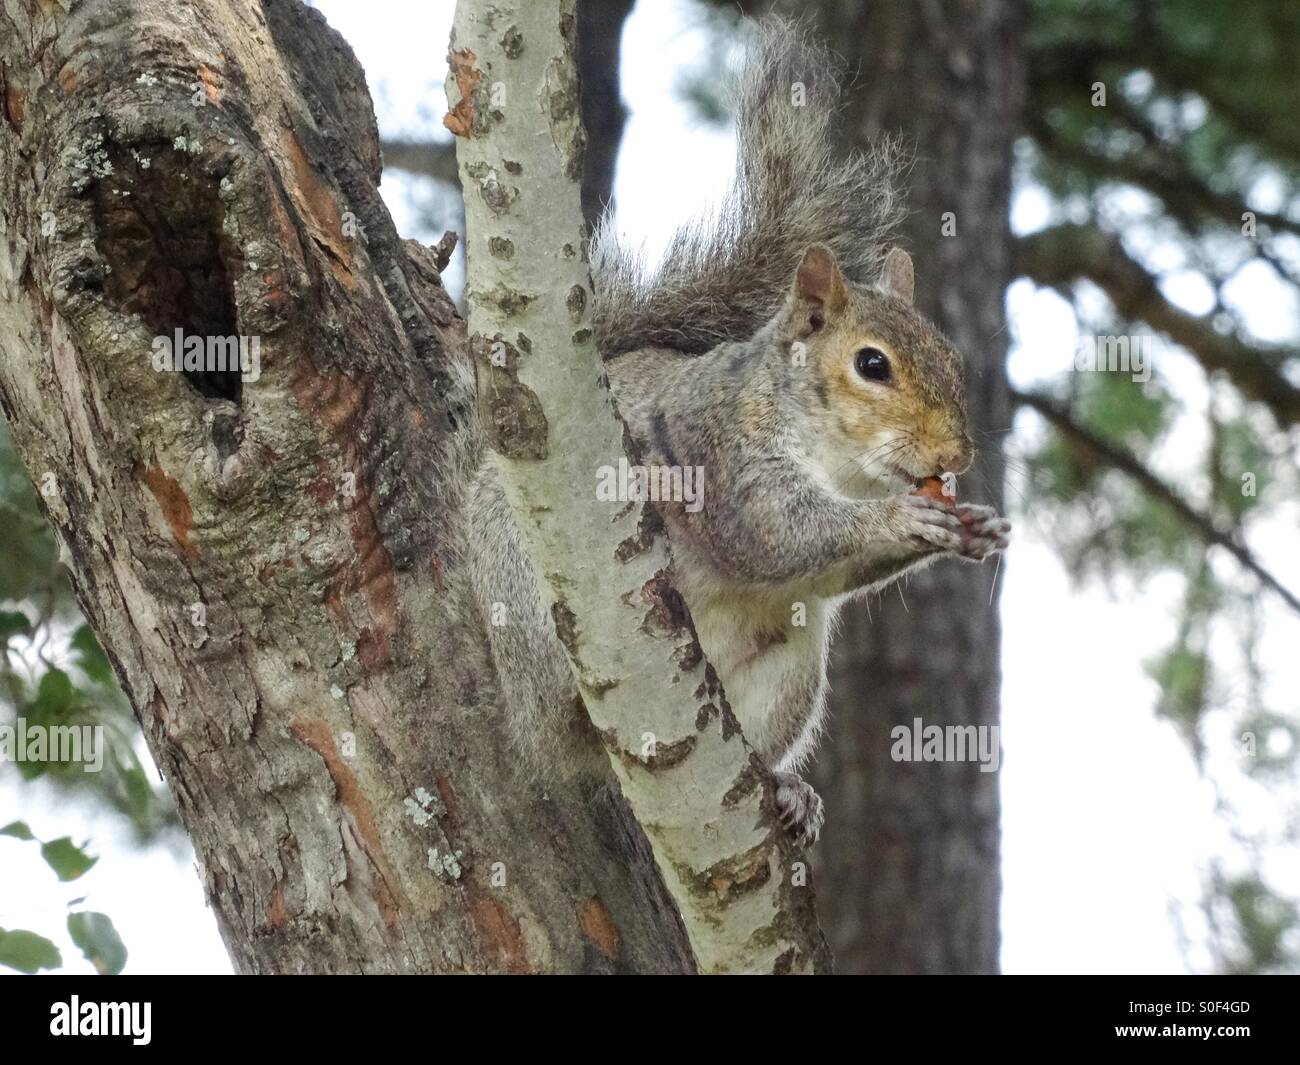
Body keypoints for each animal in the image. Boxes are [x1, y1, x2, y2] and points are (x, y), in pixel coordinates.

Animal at [466, 17, 1009, 843]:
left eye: (951, 355)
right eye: (872, 365)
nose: (957, 455)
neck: (841, 464)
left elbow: (827, 569)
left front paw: (971, 525)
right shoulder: (722, 448)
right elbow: (771, 532)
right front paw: (905, 517)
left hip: (790, 669)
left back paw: (787, 790)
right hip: (531, 600)